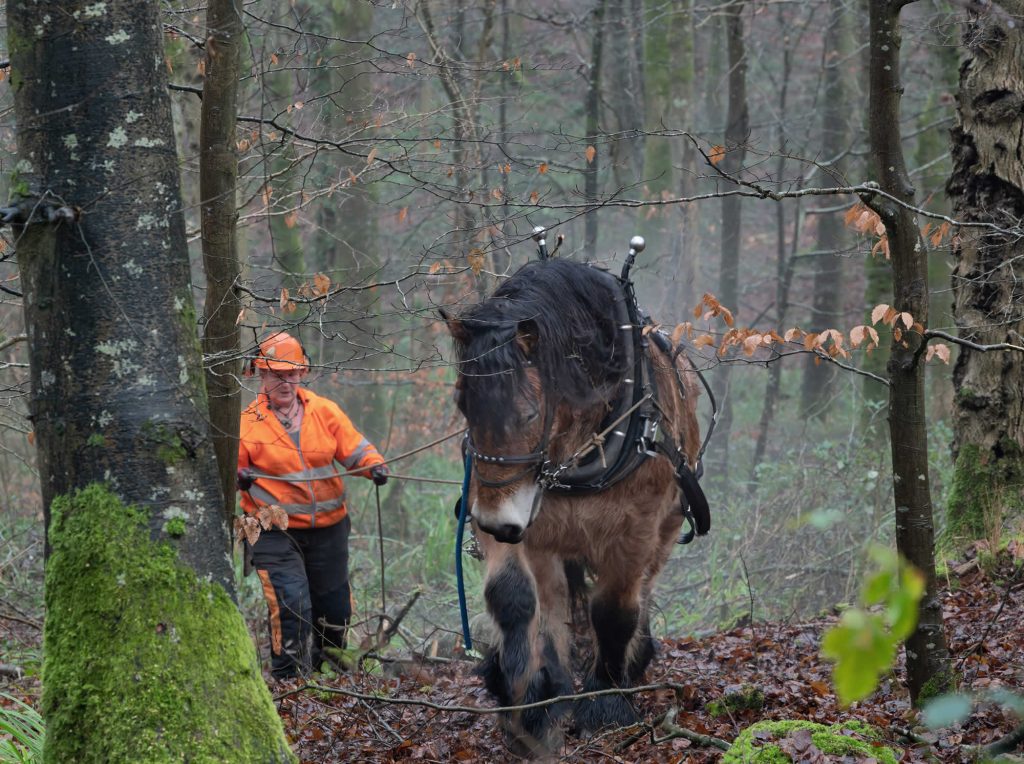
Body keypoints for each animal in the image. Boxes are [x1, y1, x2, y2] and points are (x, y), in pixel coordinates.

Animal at [444, 254, 709, 755]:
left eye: (529, 413)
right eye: (463, 404)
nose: (494, 523)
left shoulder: (634, 530)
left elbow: (614, 612)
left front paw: (605, 704)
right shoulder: (526, 523)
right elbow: (516, 598)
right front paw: (530, 699)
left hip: (665, 526)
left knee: (642, 591)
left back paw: (633, 663)